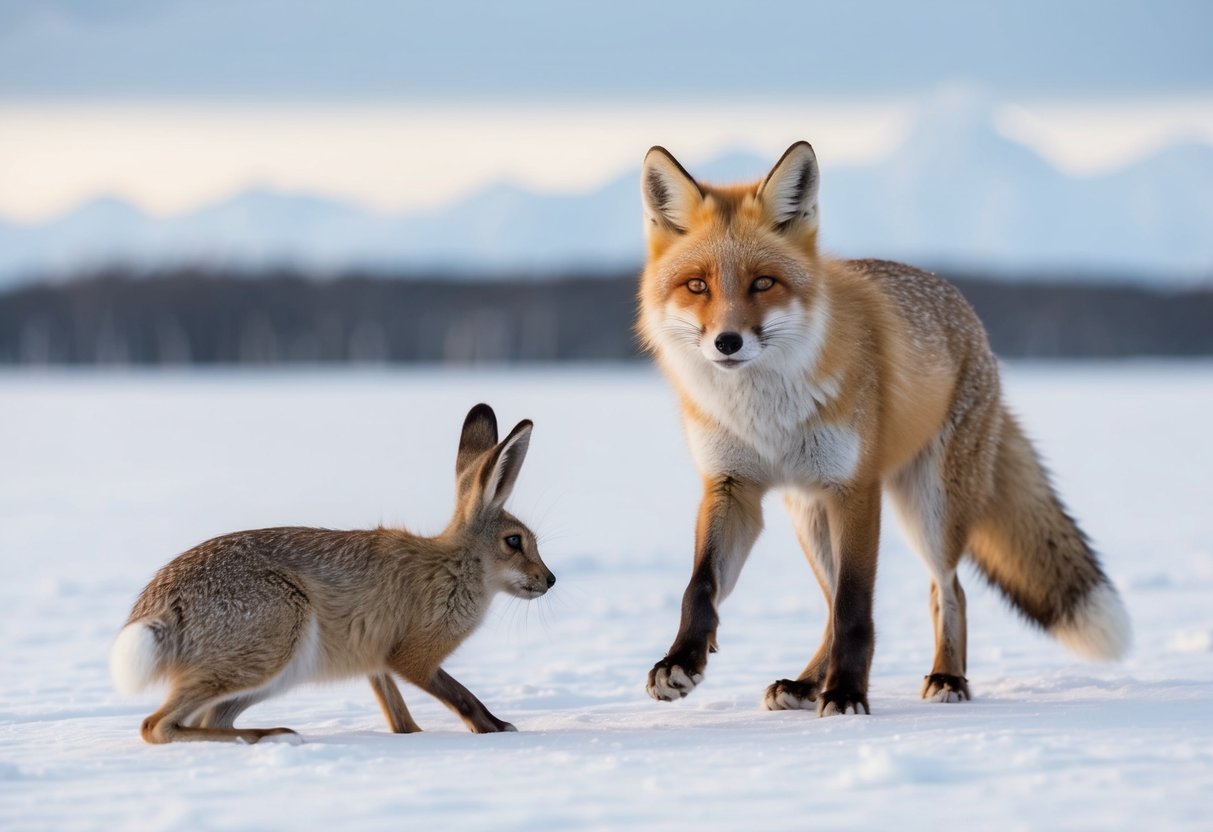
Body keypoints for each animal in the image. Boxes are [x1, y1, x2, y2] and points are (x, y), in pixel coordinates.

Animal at [109, 403, 554, 743]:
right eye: (514, 541)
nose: (549, 580)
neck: (460, 564)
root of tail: (161, 607)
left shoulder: (377, 664)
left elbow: (398, 712)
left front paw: (412, 734)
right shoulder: (412, 656)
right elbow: (459, 693)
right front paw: (497, 729)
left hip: (274, 668)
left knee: (203, 719)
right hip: (273, 639)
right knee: (157, 726)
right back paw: (271, 736)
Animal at [638, 142, 1130, 716]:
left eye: (763, 283)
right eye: (697, 285)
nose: (727, 342)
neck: (765, 417)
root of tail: (970, 319)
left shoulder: (855, 488)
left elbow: (855, 606)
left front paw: (848, 693)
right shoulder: (731, 487)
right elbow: (700, 588)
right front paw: (680, 662)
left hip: (931, 508)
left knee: (948, 591)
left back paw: (946, 677)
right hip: (809, 514)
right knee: (831, 604)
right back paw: (805, 684)